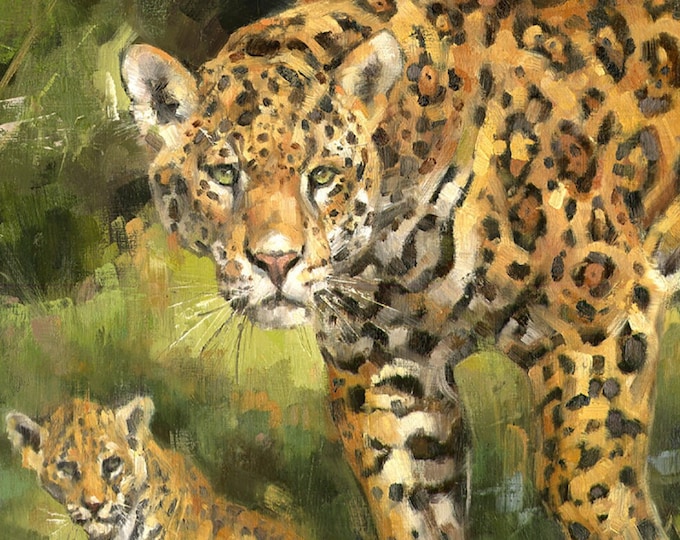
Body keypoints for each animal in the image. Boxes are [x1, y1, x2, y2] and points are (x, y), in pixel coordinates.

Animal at [120, 0, 680, 538]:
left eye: (321, 176)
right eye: (223, 174)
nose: (276, 260)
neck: (392, 250)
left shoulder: (600, 320)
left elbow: (585, 484)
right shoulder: (384, 373)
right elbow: (405, 502)